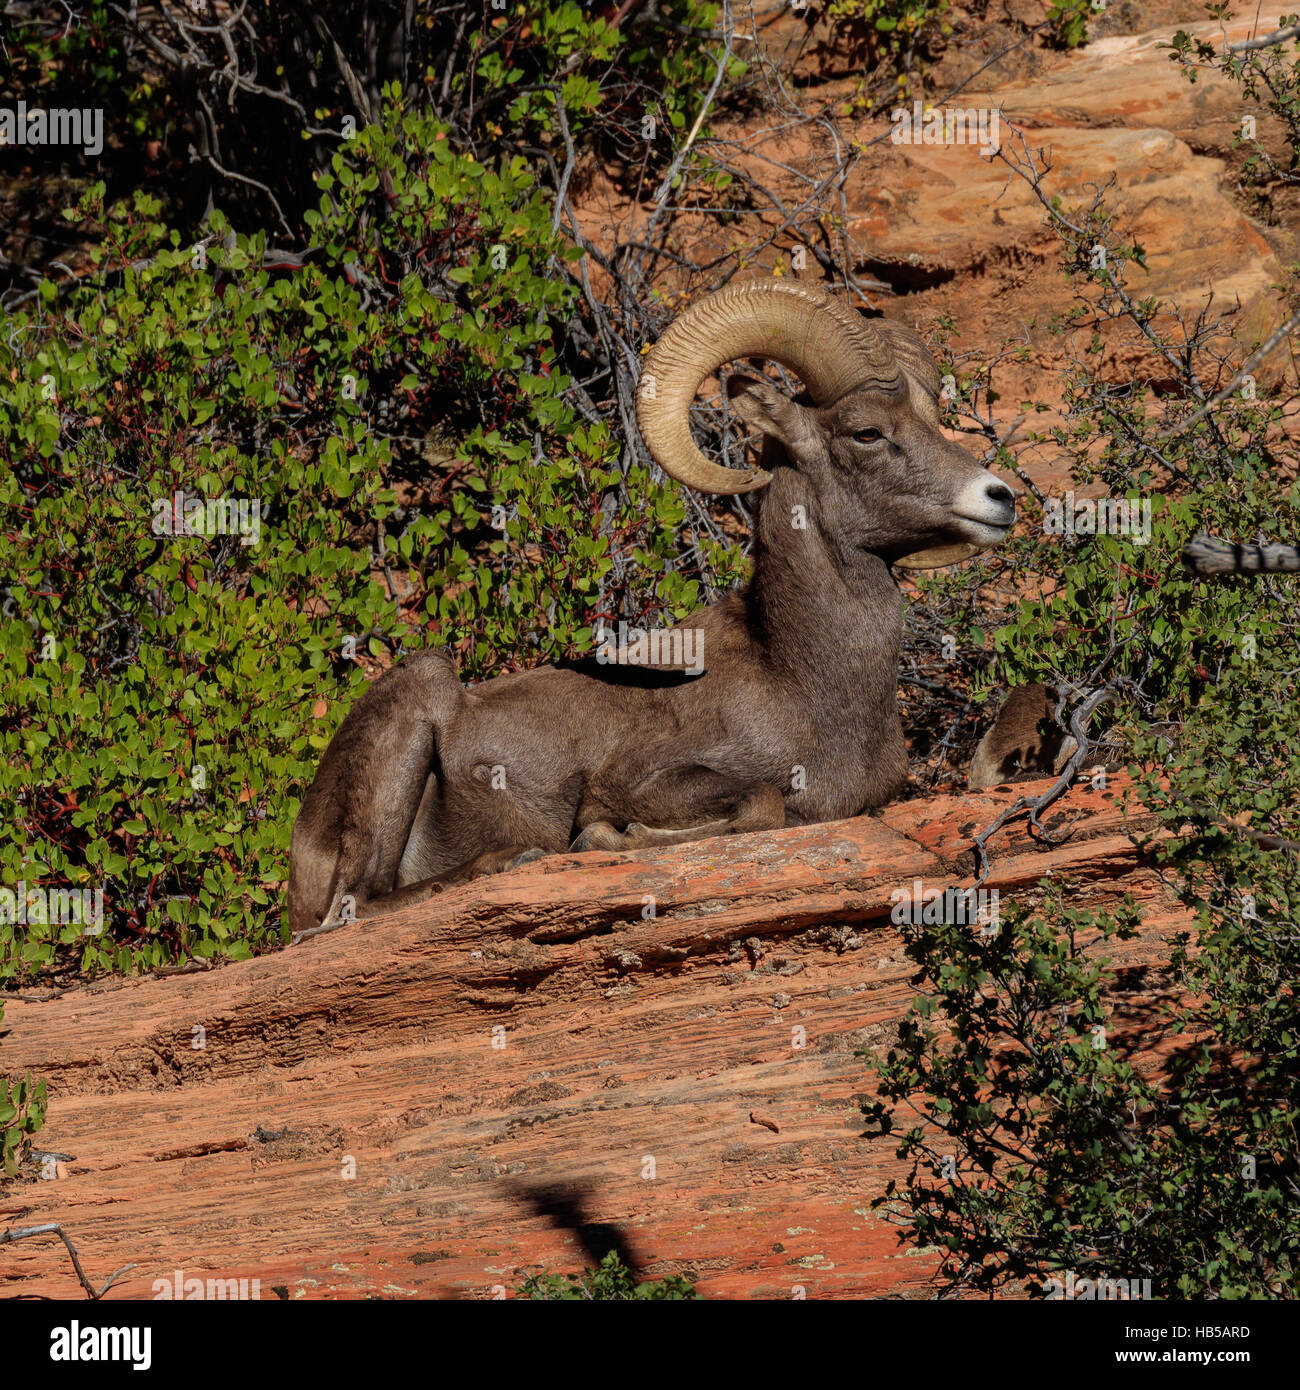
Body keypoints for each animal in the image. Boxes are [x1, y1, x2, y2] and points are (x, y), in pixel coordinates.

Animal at [287, 278, 1017, 936]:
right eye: (867, 432)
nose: (999, 498)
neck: (803, 680)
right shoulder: (640, 780)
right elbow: (761, 803)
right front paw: (607, 838)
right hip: (420, 693)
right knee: (350, 907)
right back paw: (511, 859)